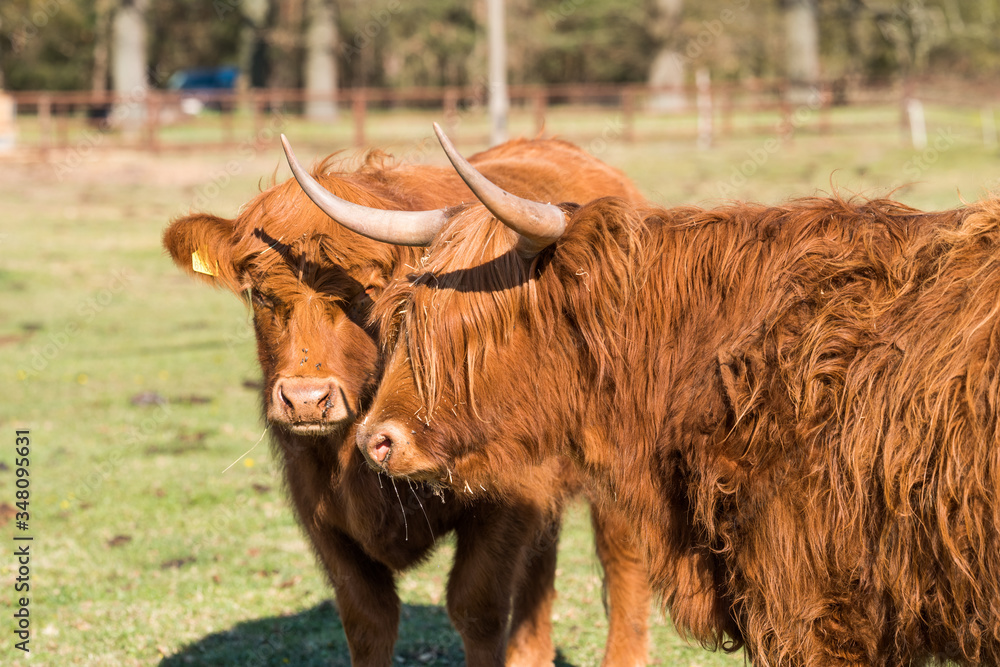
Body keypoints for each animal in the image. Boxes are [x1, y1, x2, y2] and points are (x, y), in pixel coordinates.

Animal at [163, 137, 653, 667]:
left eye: (367, 291)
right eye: (260, 295)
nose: (306, 400)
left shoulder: (510, 497)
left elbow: (477, 608)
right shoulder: (321, 514)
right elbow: (368, 619)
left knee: (624, 561)